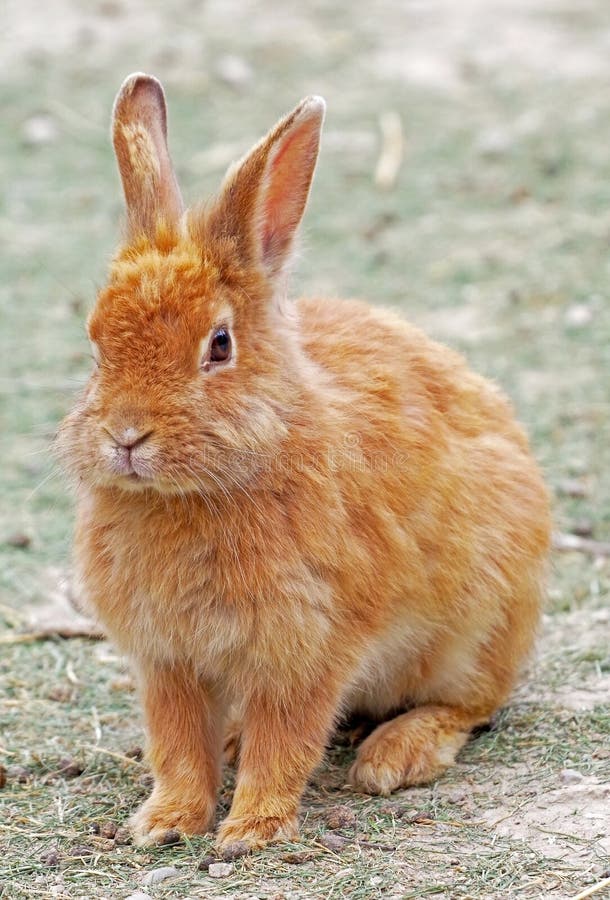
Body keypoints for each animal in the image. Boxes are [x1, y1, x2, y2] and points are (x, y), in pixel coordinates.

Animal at [56, 72, 551, 853]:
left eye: (219, 344)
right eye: (96, 341)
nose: (126, 437)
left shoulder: (309, 649)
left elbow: (285, 741)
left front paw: (251, 830)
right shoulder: (167, 662)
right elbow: (177, 745)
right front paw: (165, 823)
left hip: (478, 630)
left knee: (471, 704)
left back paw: (394, 757)